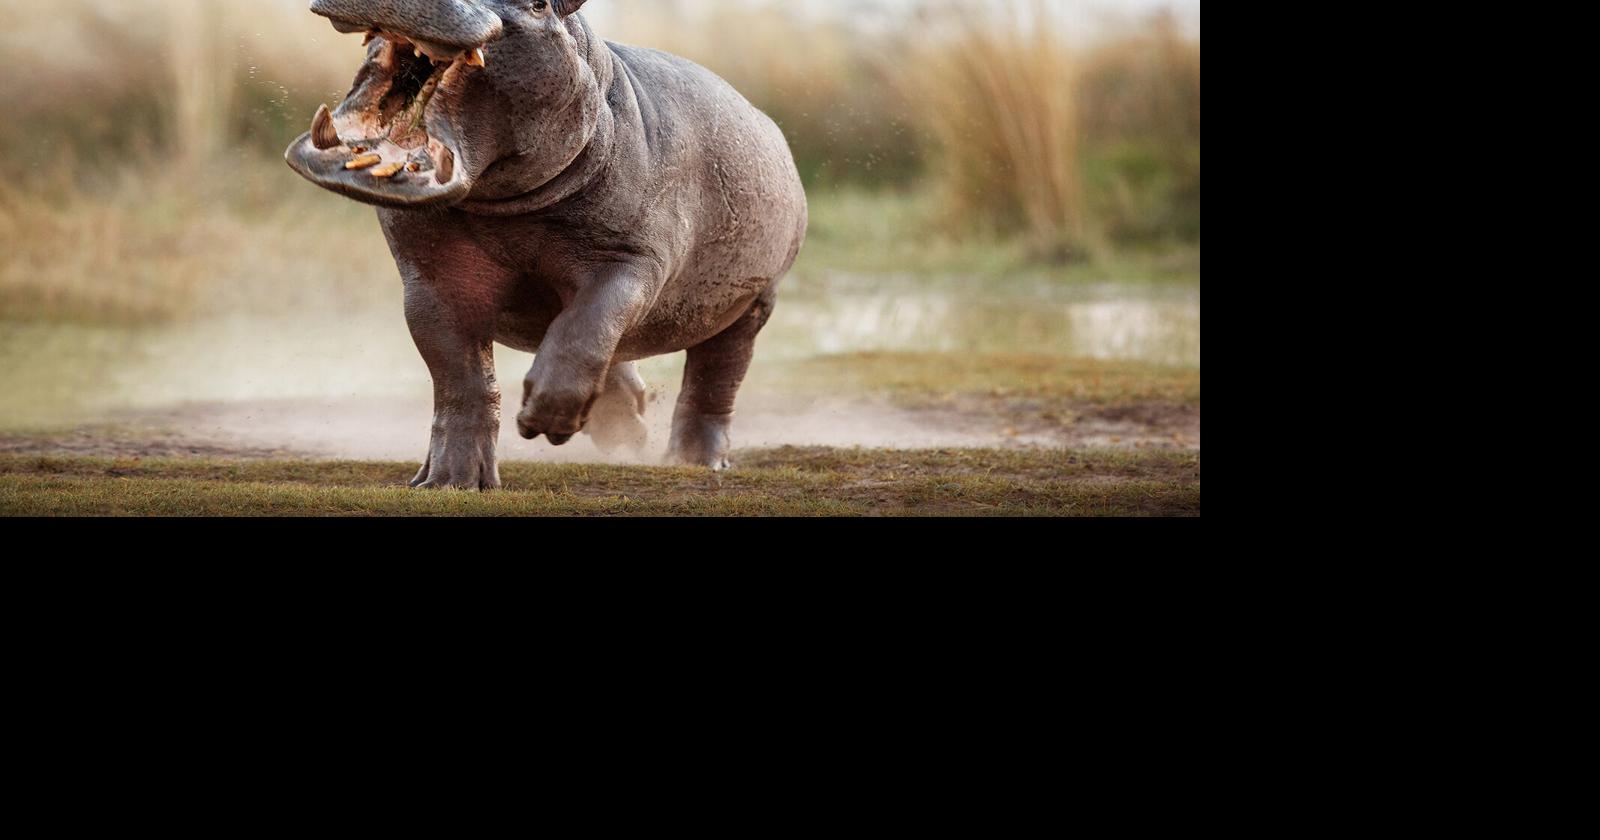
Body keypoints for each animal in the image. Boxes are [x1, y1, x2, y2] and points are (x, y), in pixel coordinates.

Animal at [285, 0, 807, 489]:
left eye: (538, 4)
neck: (506, 208)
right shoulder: (430, 280)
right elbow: (461, 381)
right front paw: (448, 482)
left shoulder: (631, 258)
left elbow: (588, 325)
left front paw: (545, 422)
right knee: (613, 353)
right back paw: (626, 429)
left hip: (754, 303)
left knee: (714, 377)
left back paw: (696, 460)